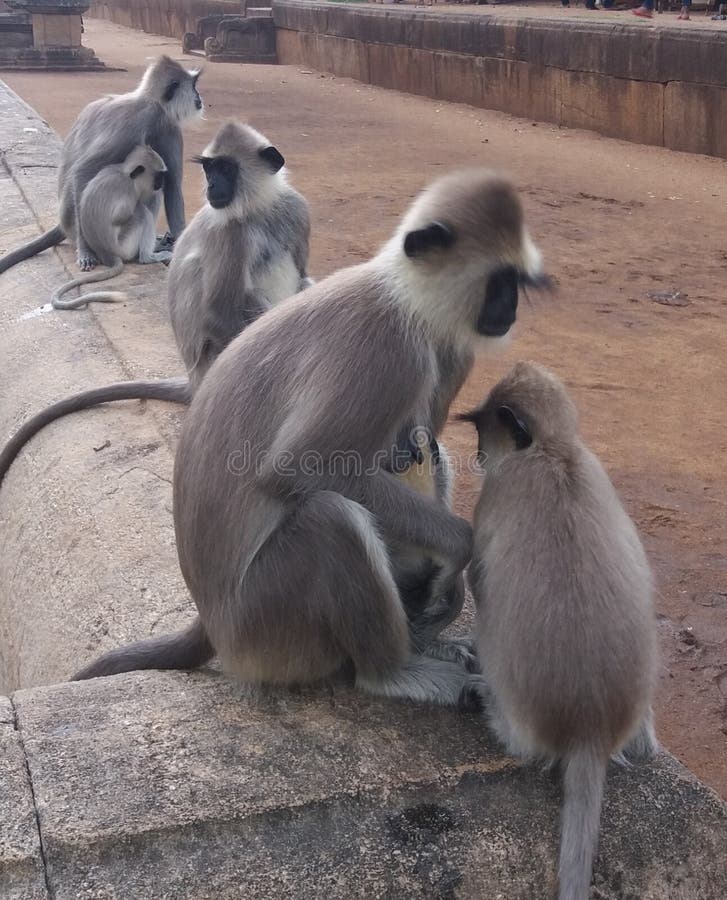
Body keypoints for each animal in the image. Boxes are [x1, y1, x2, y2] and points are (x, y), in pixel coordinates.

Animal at [0, 55, 202, 275]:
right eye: (193, 86)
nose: (199, 97)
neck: (152, 103)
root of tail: (62, 223)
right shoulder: (137, 120)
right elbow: (83, 171)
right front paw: (86, 252)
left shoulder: (169, 126)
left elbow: (172, 183)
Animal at [51, 145, 171, 310]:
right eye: (158, 176)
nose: (161, 183)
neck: (125, 174)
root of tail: (106, 253)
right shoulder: (128, 191)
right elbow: (120, 217)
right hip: (124, 246)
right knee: (142, 213)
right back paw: (148, 257)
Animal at [70, 169, 549, 710]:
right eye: (500, 282)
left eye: (517, 283)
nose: (510, 309)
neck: (402, 297)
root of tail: (214, 624)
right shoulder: (389, 350)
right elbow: (301, 466)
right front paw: (459, 554)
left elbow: (420, 441)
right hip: (267, 622)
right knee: (330, 516)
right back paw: (394, 672)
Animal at [459, 361, 658, 900]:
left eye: (483, 429)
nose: (480, 453)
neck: (553, 452)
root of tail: (590, 728)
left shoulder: (498, 492)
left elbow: (476, 577)